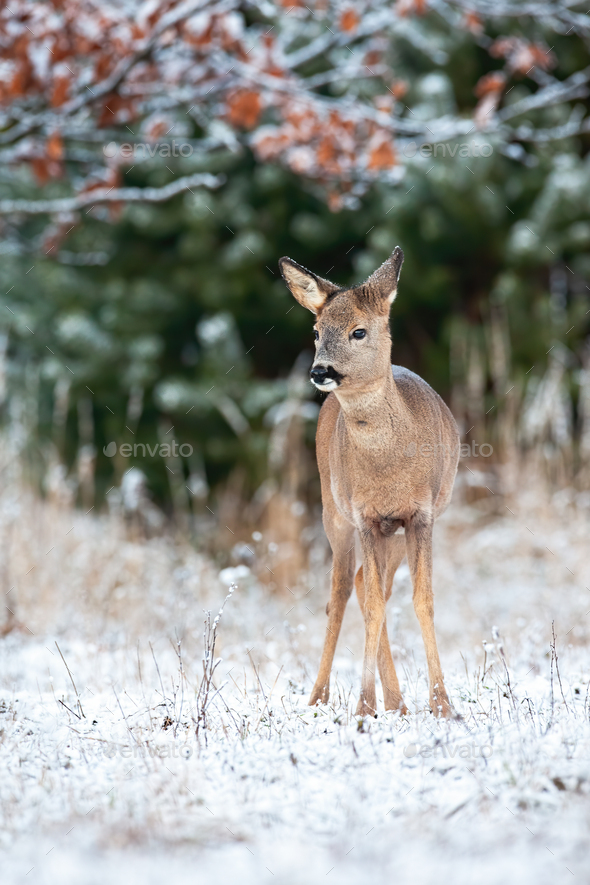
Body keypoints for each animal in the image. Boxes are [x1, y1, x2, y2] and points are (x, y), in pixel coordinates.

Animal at [279, 246, 460, 718]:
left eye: (358, 331)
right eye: (317, 330)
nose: (319, 370)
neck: (389, 467)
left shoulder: (420, 514)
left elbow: (422, 600)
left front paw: (442, 705)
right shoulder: (363, 515)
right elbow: (376, 603)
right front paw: (363, 707)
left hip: (390, 532)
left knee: (365, 585)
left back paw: (396, 701)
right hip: (334, 511)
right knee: (342, 590)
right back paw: (321, 697)